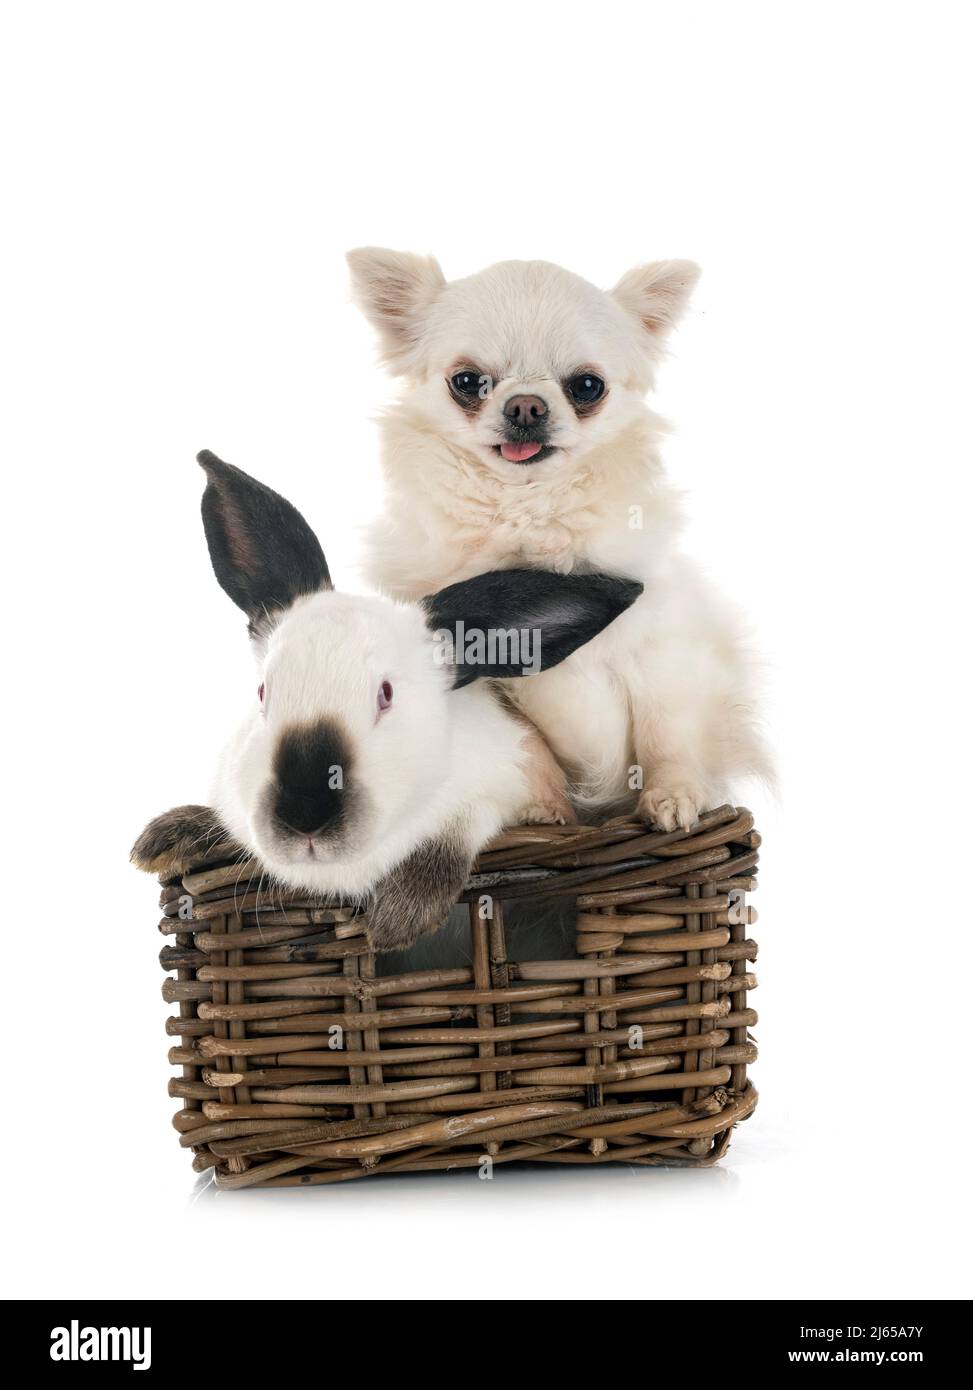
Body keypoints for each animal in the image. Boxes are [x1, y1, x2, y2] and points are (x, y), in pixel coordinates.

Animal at [132, 451, 642, 952]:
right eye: (263, 691)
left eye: (386, 695)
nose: (305, 816)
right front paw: (164, 839)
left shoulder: (506, 788)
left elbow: (462, 828)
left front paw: (399, 918)